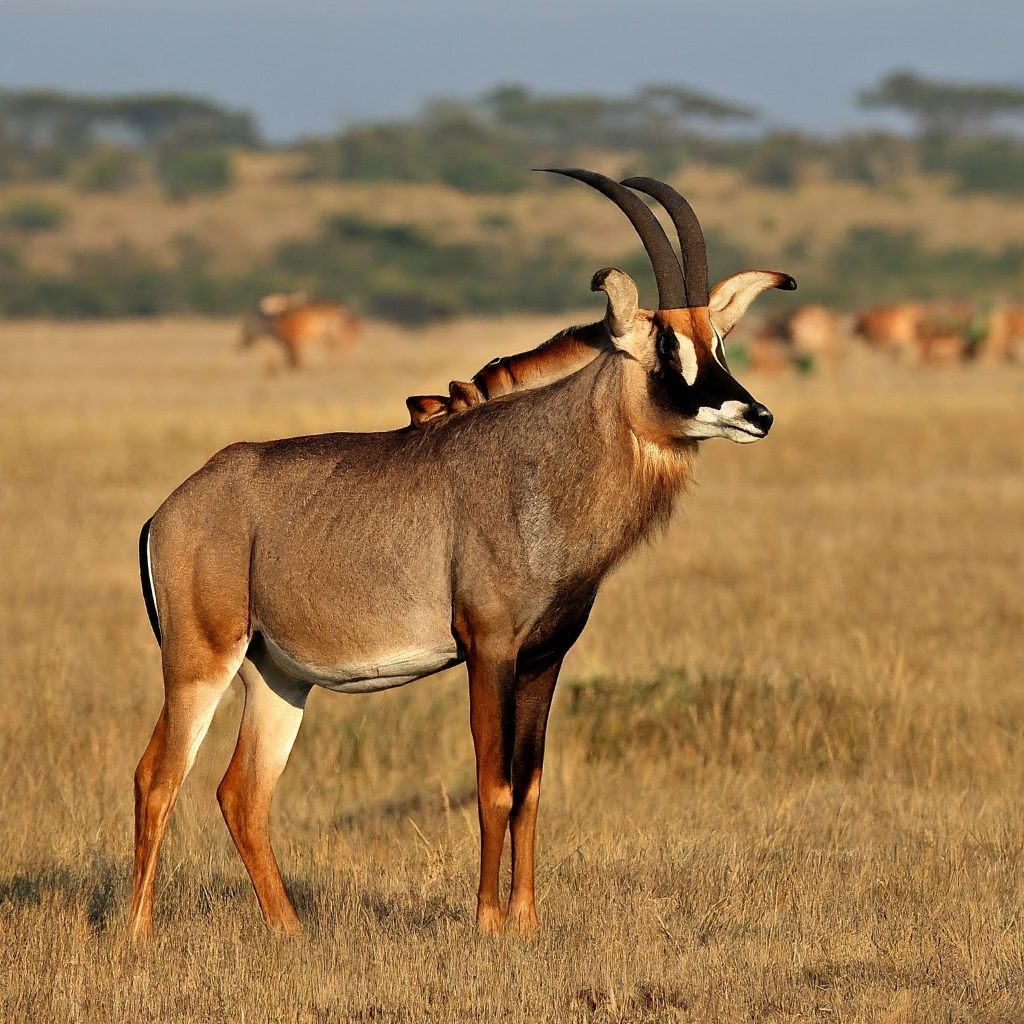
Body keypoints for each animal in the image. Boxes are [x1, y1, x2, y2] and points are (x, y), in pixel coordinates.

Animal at [129, 169, 796, 941]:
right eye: (666, 348)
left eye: (717, 342)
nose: (757, 415)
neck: (541, 460)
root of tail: (170, 510)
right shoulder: (489, 649)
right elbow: (493, 786)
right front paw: (486, 923)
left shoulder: (543, 659)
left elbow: (531, 787)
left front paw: (527, 922)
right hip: (199, 662)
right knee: (157, 777)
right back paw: (137, 937)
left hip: (278, 677)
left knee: (242, 793)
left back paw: (291, 931)